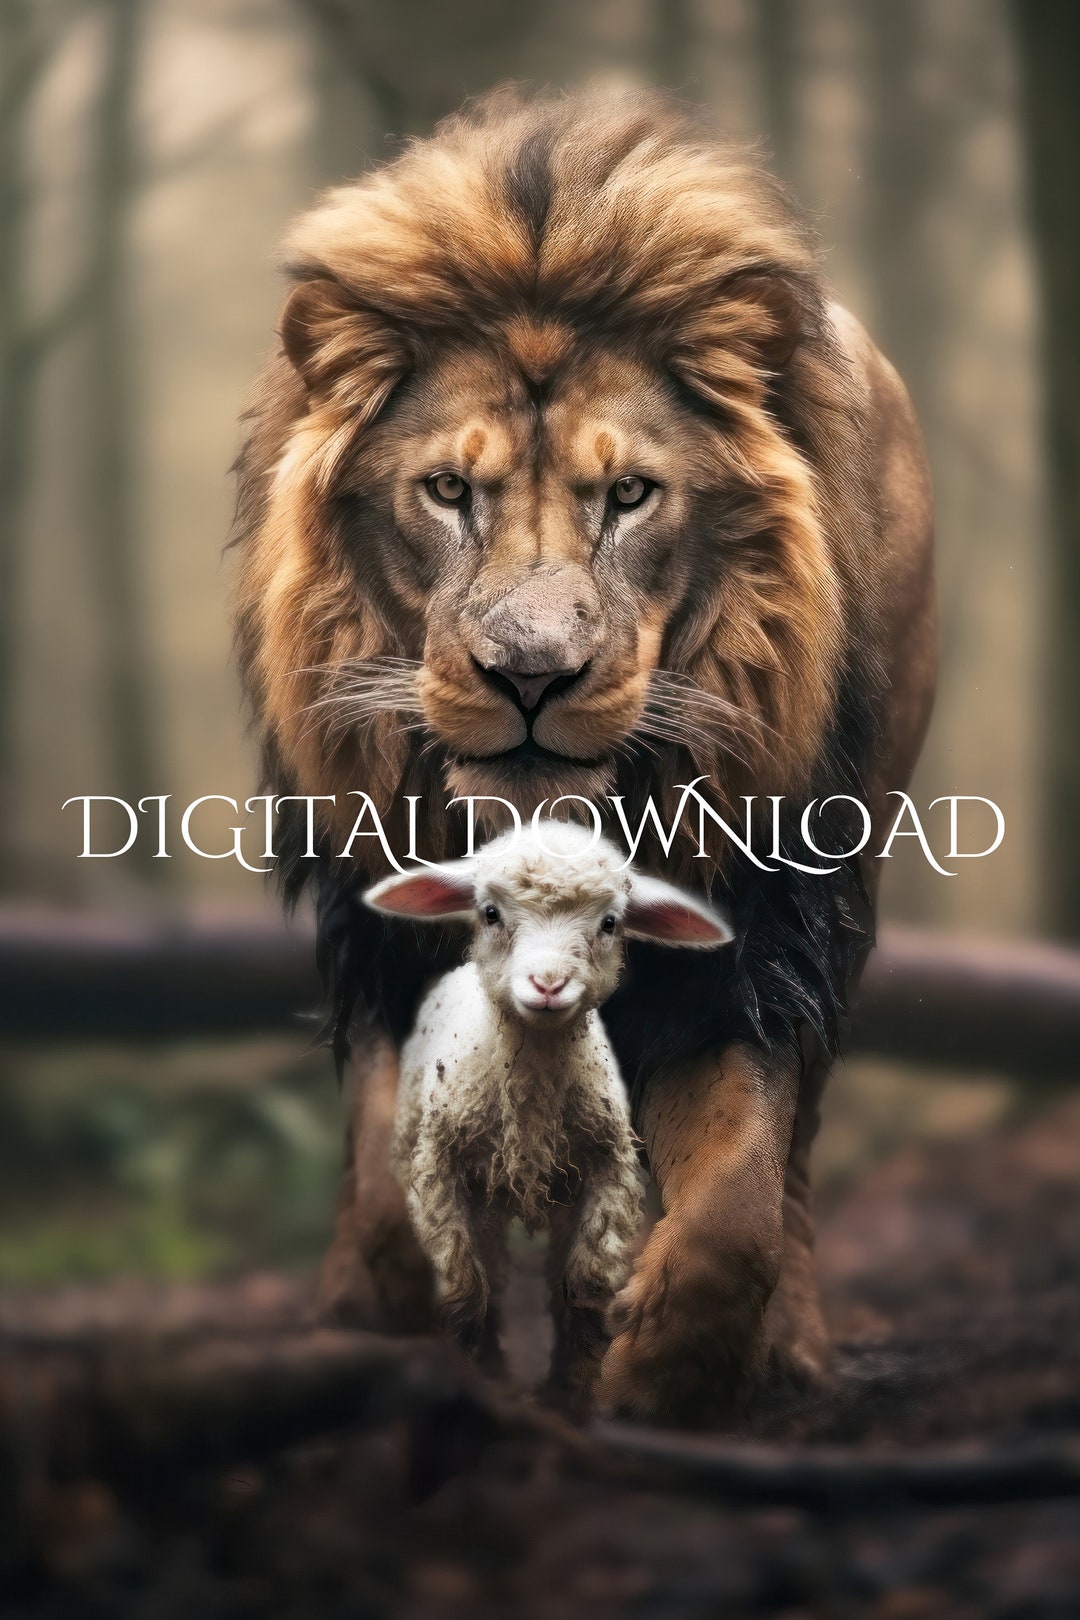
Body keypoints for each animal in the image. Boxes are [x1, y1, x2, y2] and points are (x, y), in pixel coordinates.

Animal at [363, 820, 733, 1398]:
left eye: (609, 923)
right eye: (491, 912)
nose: (548, 984)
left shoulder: (608, 1171)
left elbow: (583, 1289)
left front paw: (572, 1390)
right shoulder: (437, 1173)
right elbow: (465, 1290)